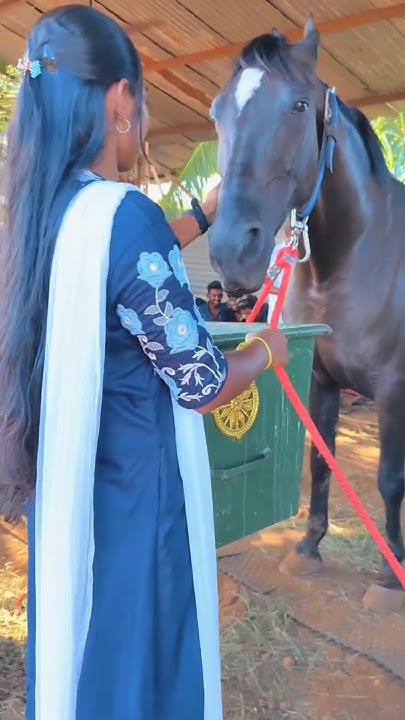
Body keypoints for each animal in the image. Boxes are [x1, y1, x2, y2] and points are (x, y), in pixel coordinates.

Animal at [208, 16, 405, 602]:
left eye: (299, 105)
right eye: (217, 112)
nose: (233, 249)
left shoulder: (393, 389)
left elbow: (389, 477)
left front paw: (389, 576)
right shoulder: (318, 375)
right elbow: (320, 460)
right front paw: (308, 547)